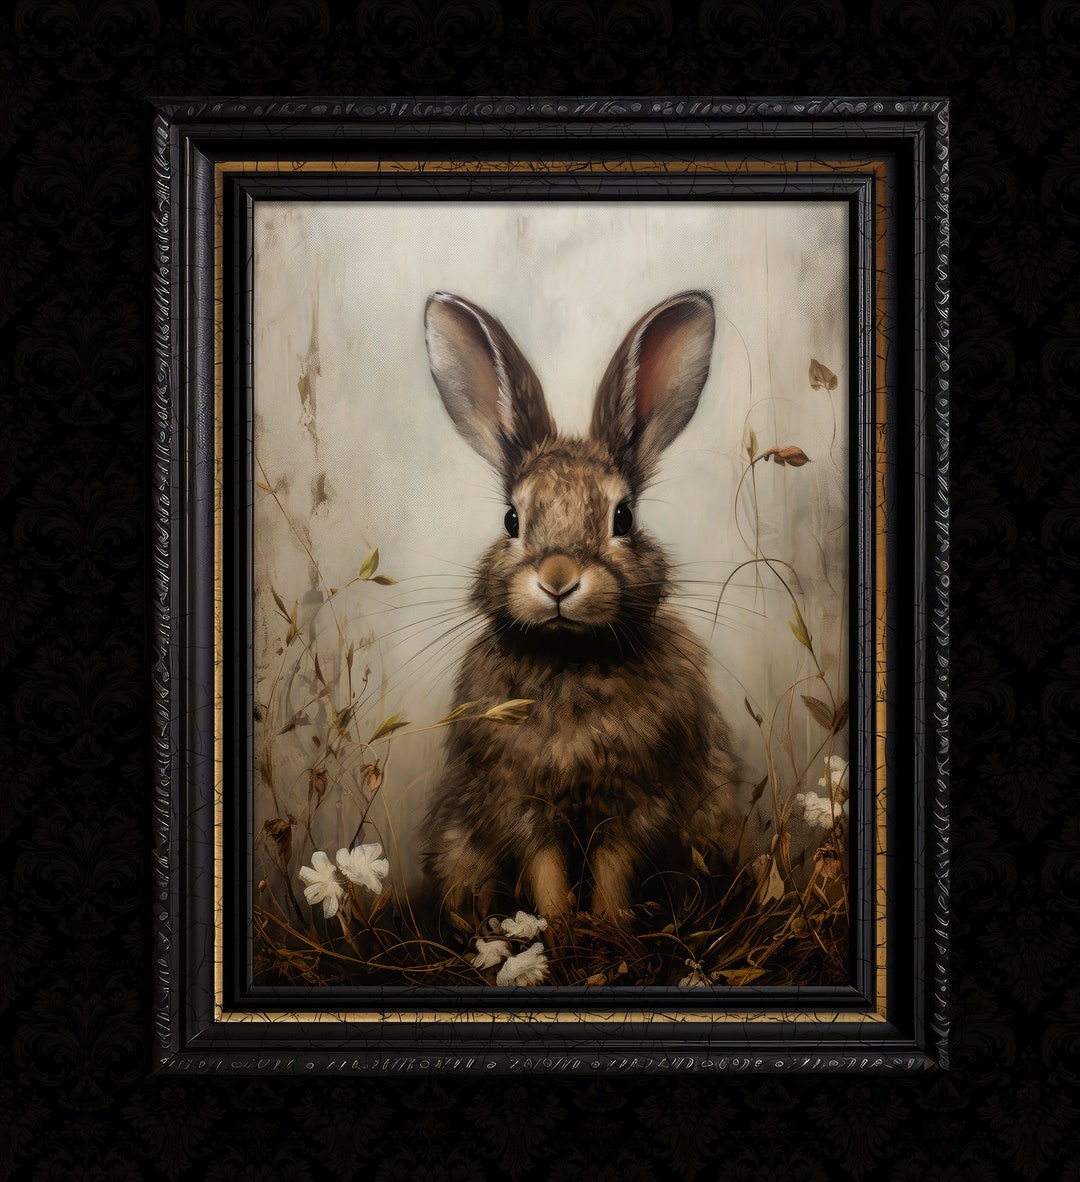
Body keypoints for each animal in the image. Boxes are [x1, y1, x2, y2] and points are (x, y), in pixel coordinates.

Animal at [420, 289, 742, 936]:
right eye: (511, 520)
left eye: (624, 517)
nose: (558, 579)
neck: (569, 659)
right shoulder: (520, 802)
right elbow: (546, 869)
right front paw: (557, 929)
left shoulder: (637, 799)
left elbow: (613, 867)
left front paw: (611, 929)